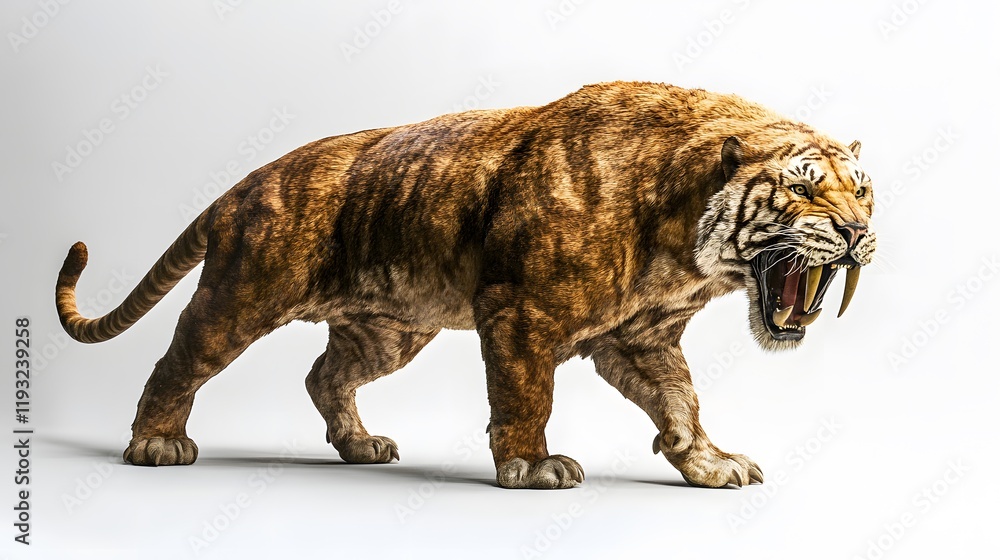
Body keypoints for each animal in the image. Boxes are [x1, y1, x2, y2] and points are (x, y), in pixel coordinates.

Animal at [55, 81, 875, 489]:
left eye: (863, 191)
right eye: (804, 189)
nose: (856, 232)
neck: (684, 240)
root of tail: (246, 182)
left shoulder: (639, 338)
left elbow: (681, 402)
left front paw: (710, 465)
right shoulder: (520, 312)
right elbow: (527, 395)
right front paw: (533, 467)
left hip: (388, 331)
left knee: (324, 374)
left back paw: (360, 447)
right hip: (240, 296)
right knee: (178, 362)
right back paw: (155, 444)